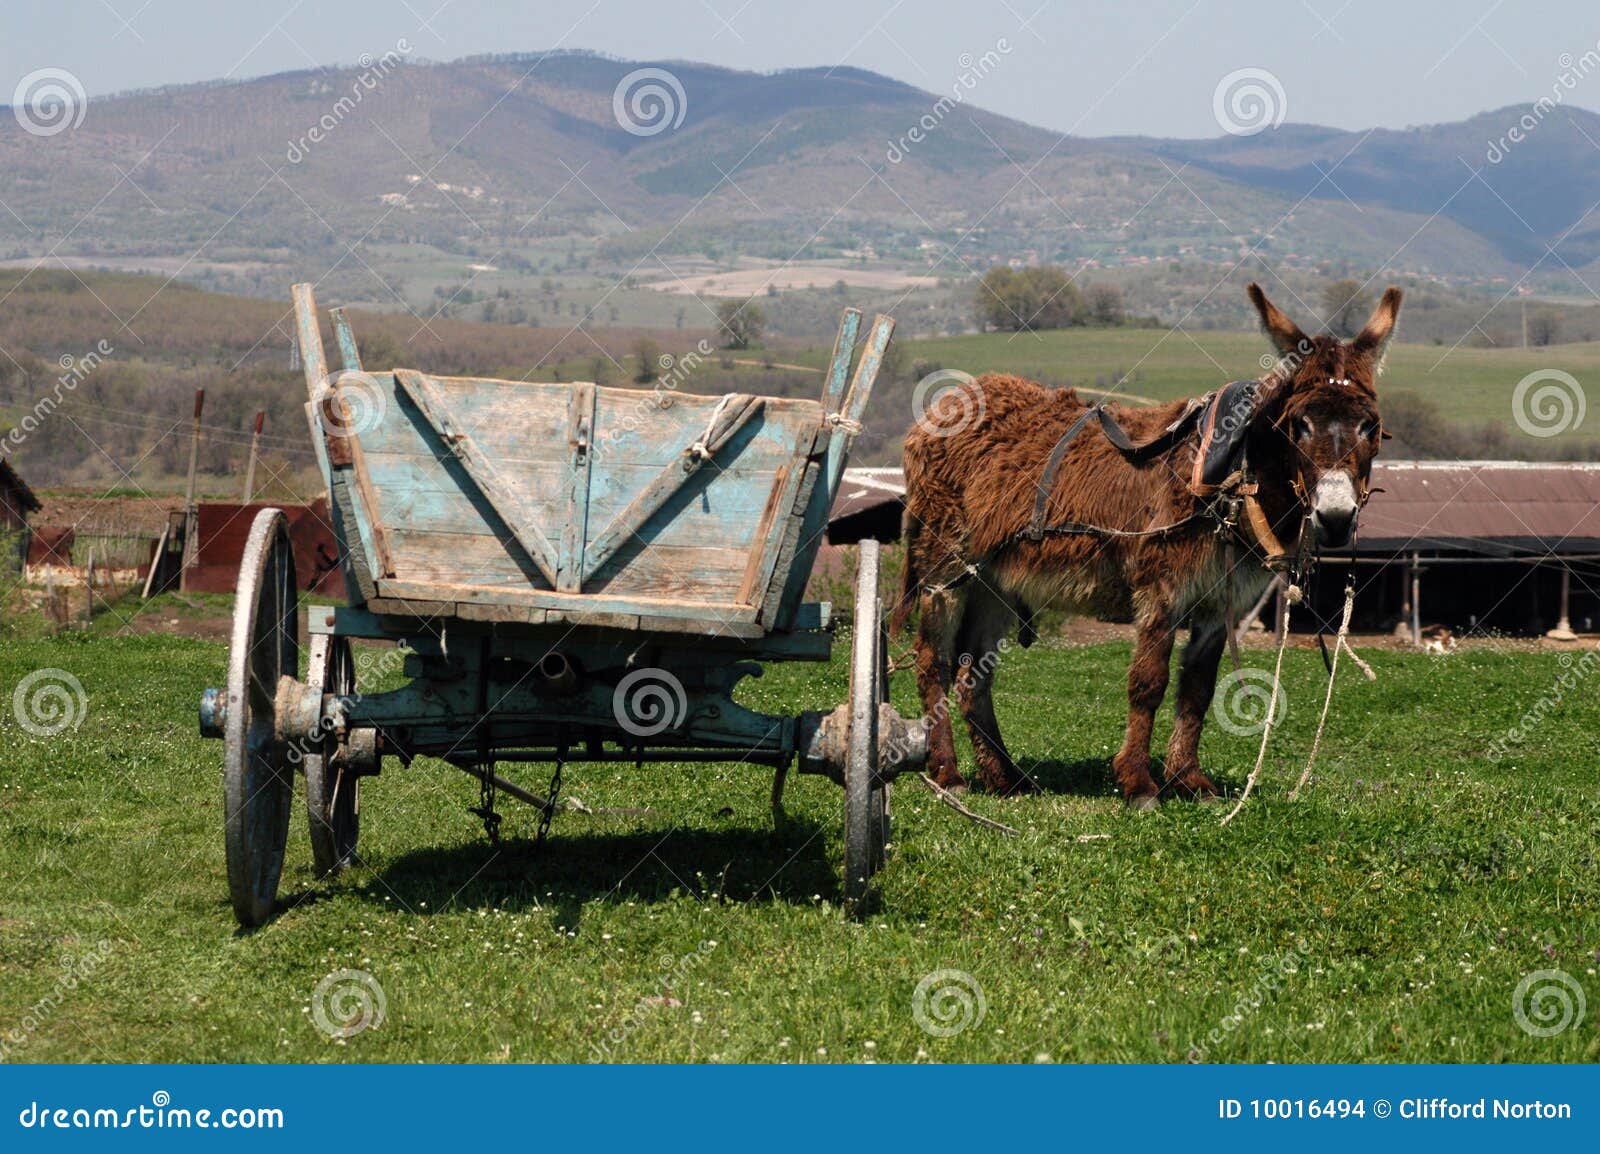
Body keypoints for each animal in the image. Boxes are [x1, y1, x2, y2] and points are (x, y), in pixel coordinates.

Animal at [891, 282, 1401, 807]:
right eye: (1299, 424)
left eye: (1370, 426)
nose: (1336, 518)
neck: (1229, 474)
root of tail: (942, 409)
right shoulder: (1162, 591)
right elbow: (1149, 682)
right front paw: (1139, 783)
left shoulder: (1219, 603)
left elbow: (1198, 689)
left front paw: (1190, 781)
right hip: (945, 574)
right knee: (933, 662)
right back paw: (948, 773)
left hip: (994, 582)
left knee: (973, 672)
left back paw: (1004, 777)